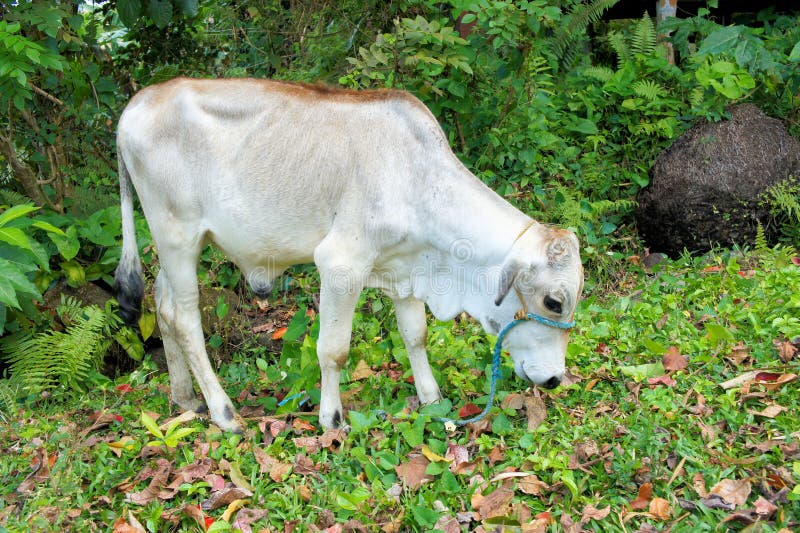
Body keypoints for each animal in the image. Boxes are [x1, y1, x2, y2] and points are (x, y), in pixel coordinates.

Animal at [115, 77, 584, 432]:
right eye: (553, 302)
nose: (555, 379)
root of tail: (137, 103)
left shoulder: (404, 270)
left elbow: (416, 335)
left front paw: (431, 399)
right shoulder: (341, 265)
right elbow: (334, 349)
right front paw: (332, 419)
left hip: (180, 245)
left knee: (163, 305)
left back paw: (185, 398)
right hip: (177, 236)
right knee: (185, 319)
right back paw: (224, 412)